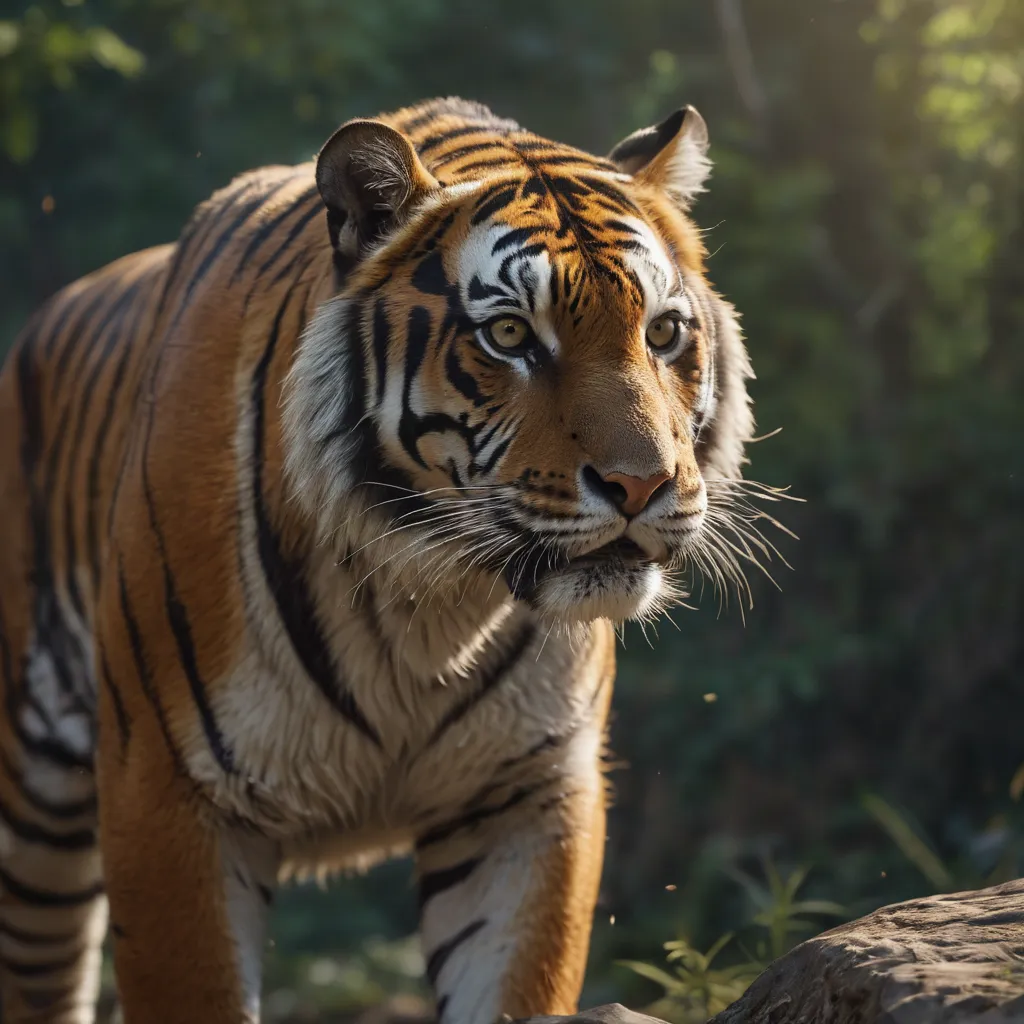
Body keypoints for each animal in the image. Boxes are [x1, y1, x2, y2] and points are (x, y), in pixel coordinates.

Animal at [0, 96, 762, 1024]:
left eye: (664, 332)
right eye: (511, 334)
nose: (642, 483)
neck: (429, 600)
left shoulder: (526, 794)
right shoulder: (167, 792)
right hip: (34, 813)